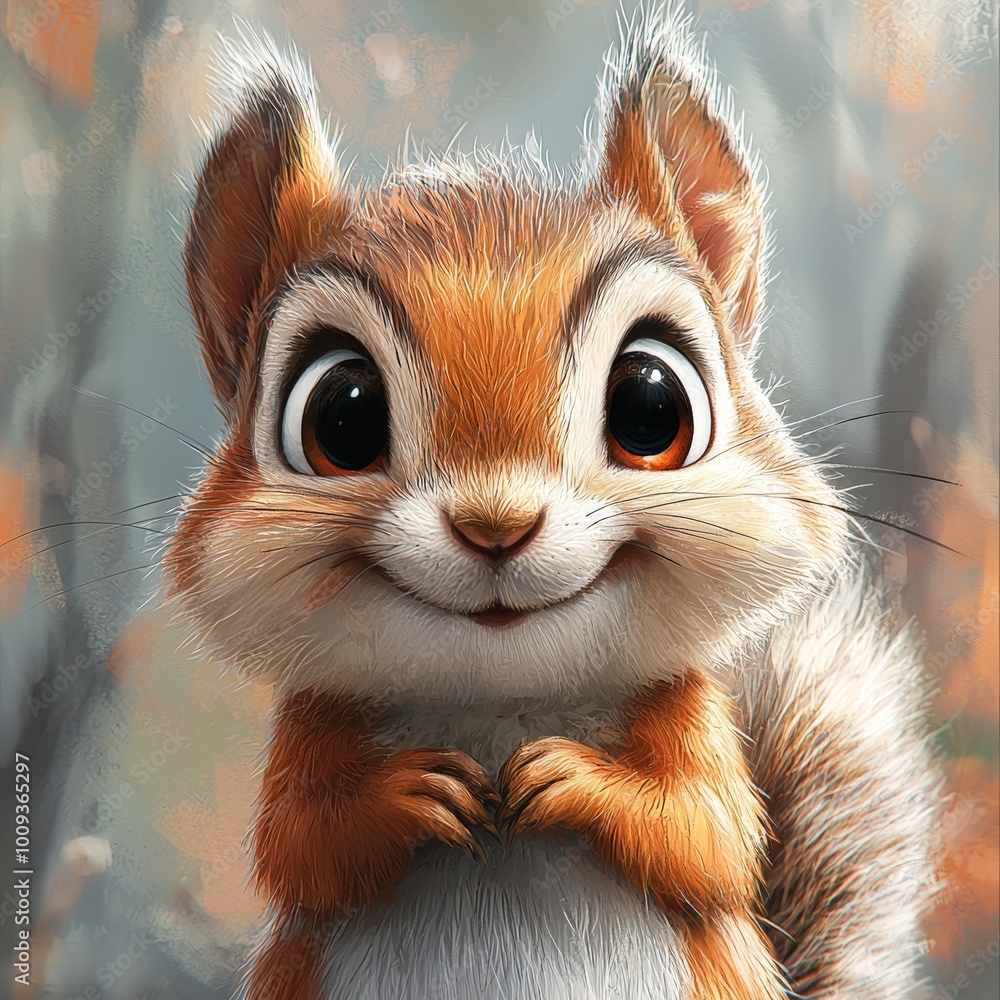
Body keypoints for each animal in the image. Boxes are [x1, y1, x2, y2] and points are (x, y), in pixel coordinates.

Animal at [164, 7, 939, 999]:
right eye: (343, 418)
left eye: (653, 405)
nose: (495, 525)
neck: (502, 704)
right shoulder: (311, 725)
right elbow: (300, 842)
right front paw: (406, 794)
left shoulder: (689, 721)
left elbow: (708, 833)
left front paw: (575, 781)